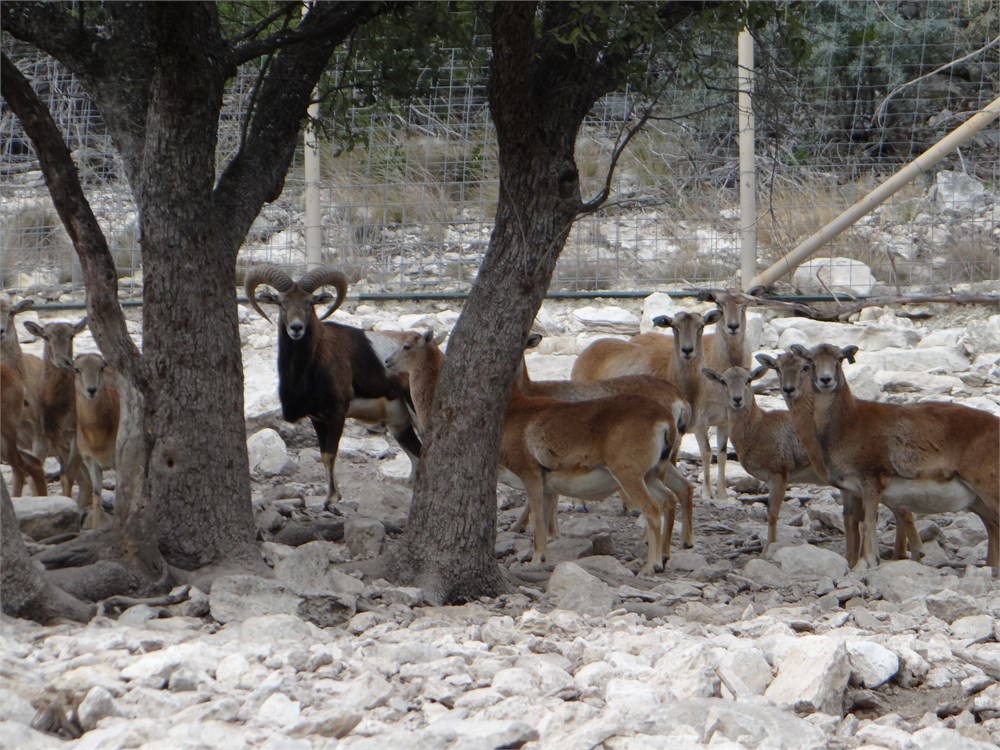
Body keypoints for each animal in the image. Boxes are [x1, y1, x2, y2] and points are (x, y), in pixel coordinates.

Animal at [244, 265, 421, 510]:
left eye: (309, 303)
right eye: (281, 303)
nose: (296, 328)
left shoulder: (337, 414)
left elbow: (330, 454)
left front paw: (331, 499)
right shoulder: (318, 419)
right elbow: (323, 455)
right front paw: (330, 497)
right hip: (399, 427)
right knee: (417, 455)